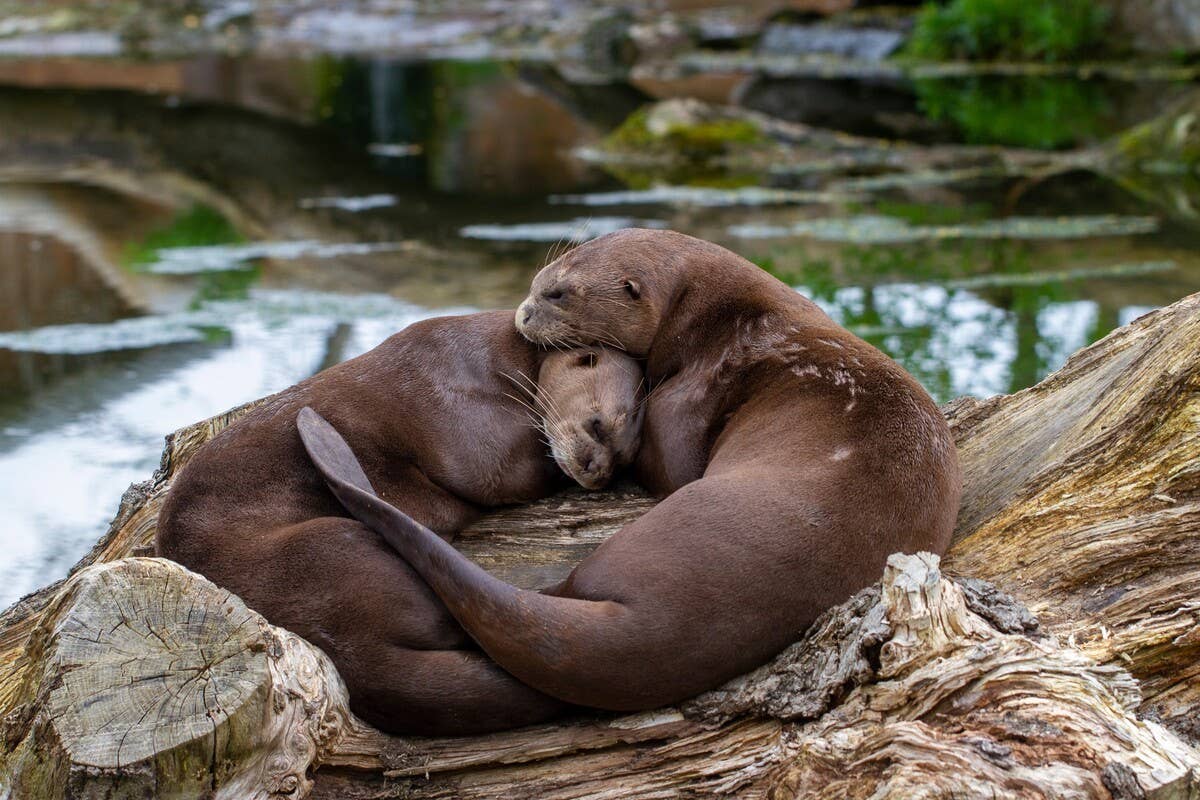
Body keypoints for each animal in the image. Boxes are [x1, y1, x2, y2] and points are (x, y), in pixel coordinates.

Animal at [156, 310, 644, 734]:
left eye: (624, 455)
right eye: (597, 424)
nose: (596, 470)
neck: (497, 358)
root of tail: (349, 648)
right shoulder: (454, 405)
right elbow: (499, 469)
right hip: (332, 541)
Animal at [299, 228, 961, 712]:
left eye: (559, 294)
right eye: (538, 282)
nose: (521, 313)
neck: (724, 318)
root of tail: (668, 625)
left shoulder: (691, 393)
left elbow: (670, 463)